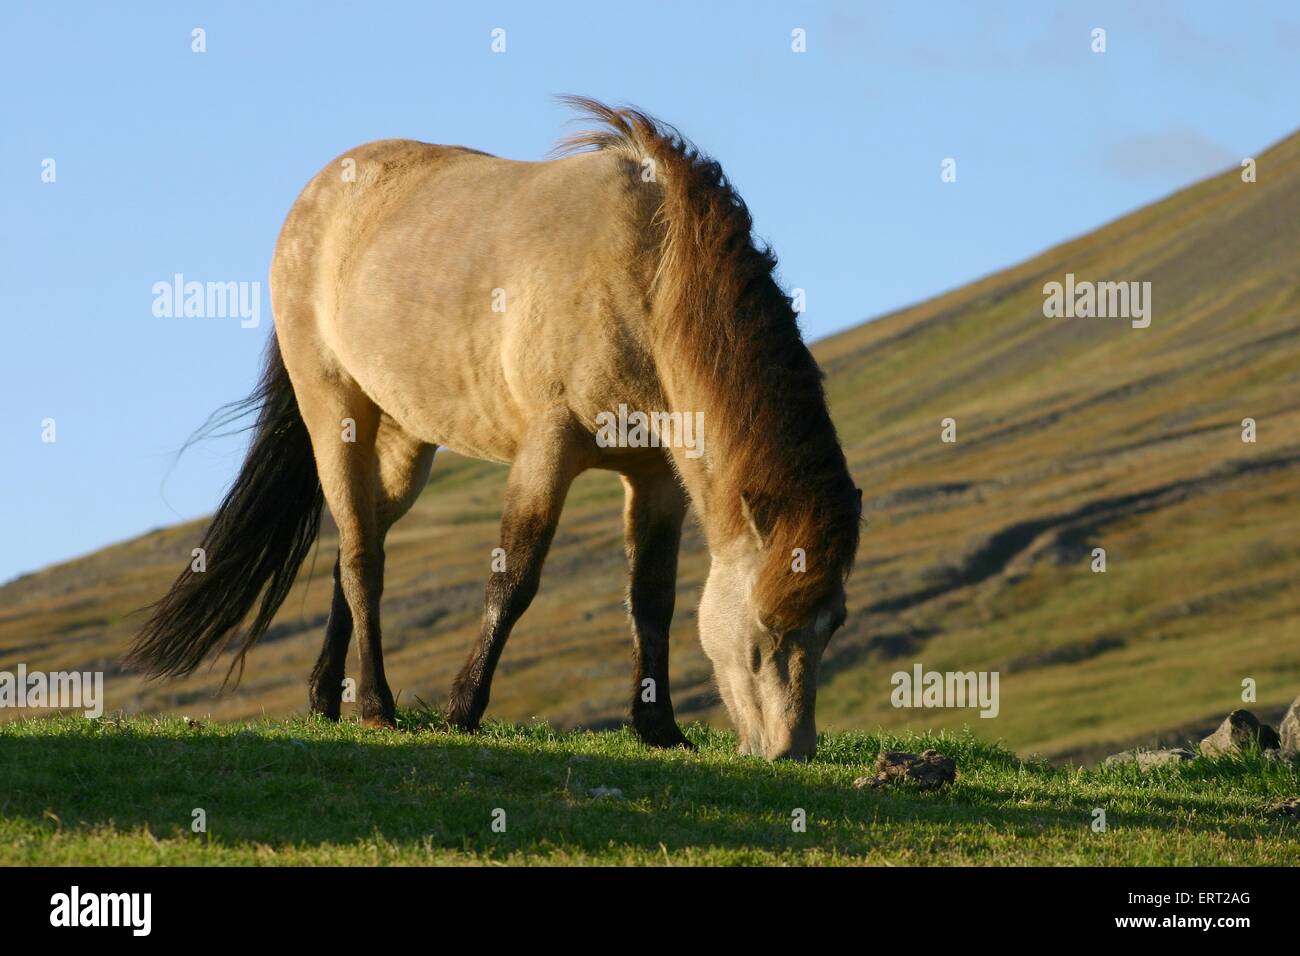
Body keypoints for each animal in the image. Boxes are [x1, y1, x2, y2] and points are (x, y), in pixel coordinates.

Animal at [126, 98, 862, 761]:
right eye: (765, 633)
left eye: (832, 627)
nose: (790, 752)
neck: (650, 275)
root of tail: (319, 194)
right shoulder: (550, 446)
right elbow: (514, 580)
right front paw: (463, 709)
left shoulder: (656, 476)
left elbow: (651, 599)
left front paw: (659, 729)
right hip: (335, 412)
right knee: (363, 559)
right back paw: (377, 707)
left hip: (406, 442)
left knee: (353, 544)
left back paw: (324, 698)